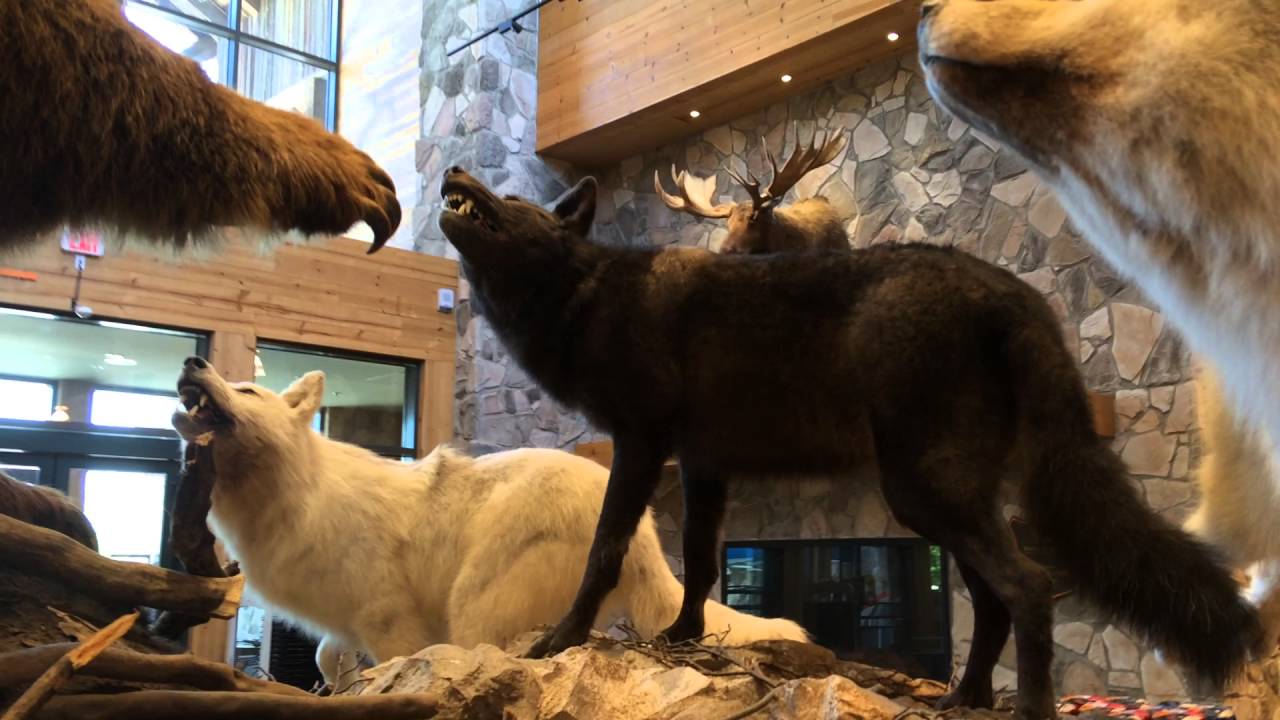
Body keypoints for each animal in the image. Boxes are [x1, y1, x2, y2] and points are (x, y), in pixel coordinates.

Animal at [169, 357, 807, 685]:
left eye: (247, 387)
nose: (192, 361)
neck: (298, 493)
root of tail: (647, 533)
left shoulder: (388, 617)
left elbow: (397, 664)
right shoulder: (342, 625)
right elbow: (330, 660)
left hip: (473, 607)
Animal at [437, 167, 1261, 720]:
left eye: (514, 202)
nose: (453, 171)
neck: (589, 294)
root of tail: (1013, 291)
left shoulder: (640, 446)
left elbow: (604, 552)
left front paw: (560, 642)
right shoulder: (703, 465)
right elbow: (700, 563)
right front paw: (682, 639)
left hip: (923, 493)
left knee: (1027, 587)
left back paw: (1023, 707)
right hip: (941, 500)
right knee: (994, 603)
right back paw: (963, 698)